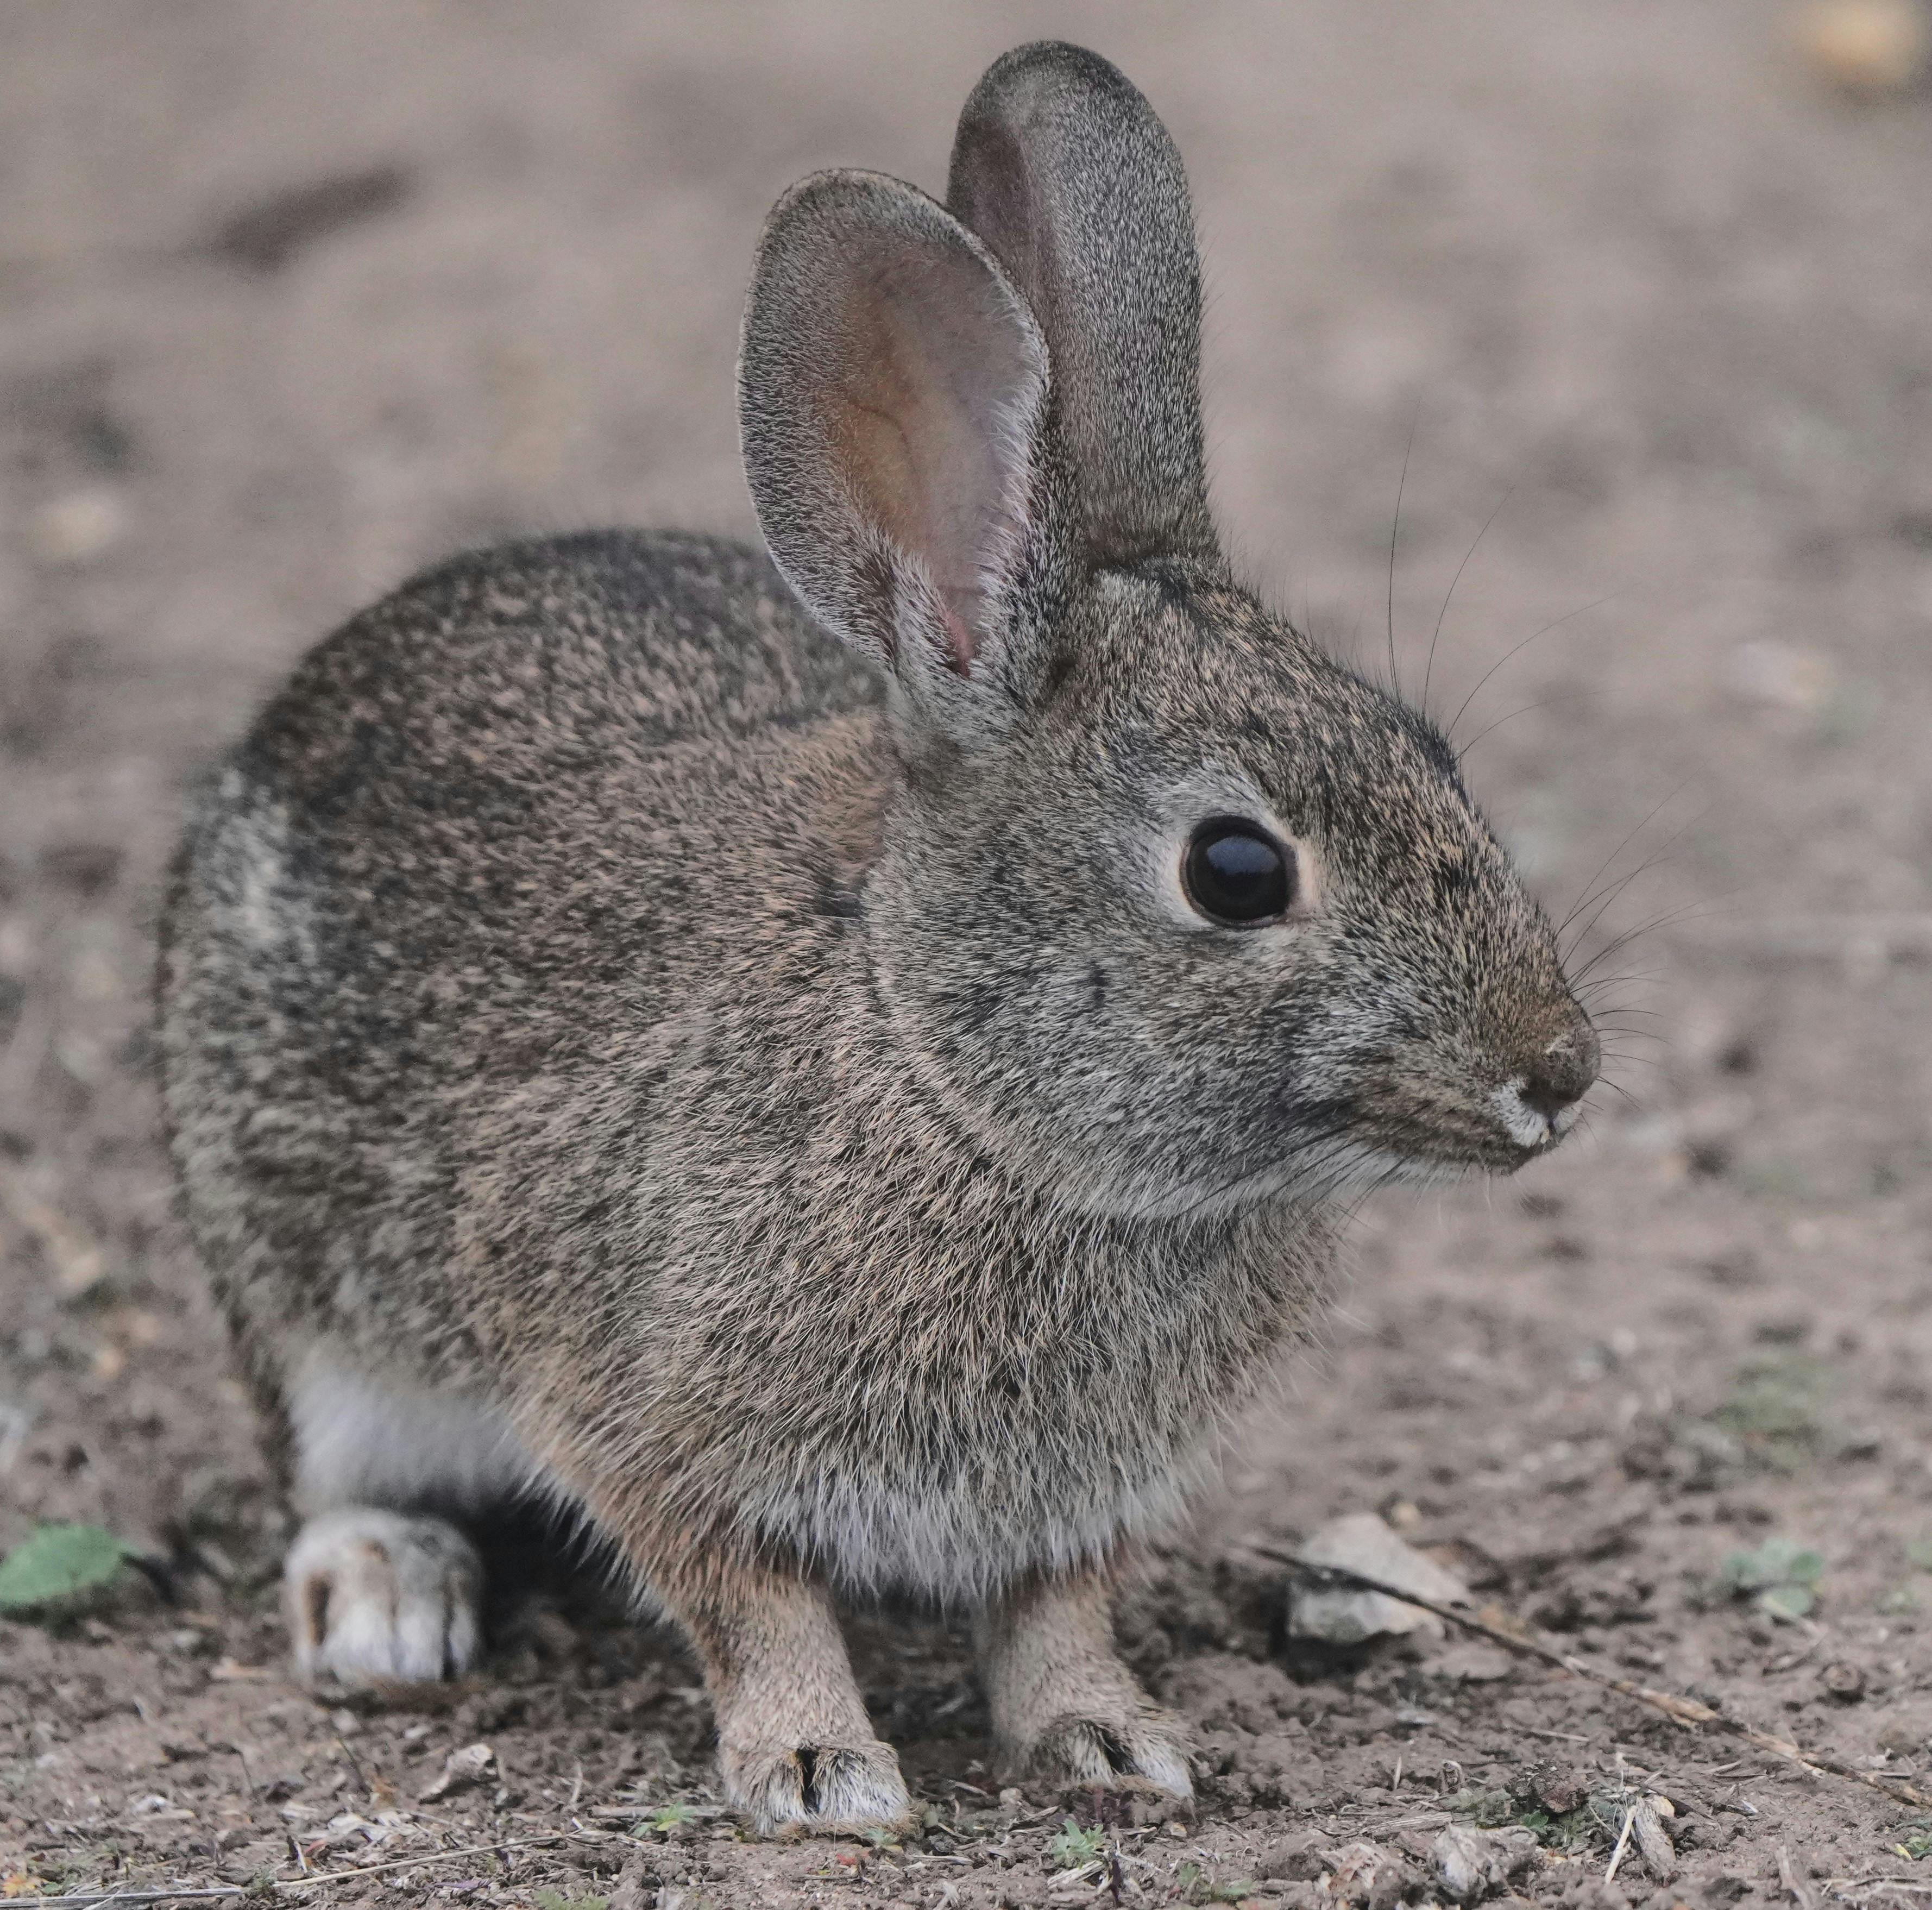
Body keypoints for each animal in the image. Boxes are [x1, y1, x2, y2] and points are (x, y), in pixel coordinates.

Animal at [156, 40, 1598, 1835]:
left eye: (1435, 753)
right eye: (1236, 870)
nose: (1561, 1072)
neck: (949, 1073)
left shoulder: (1072, 1501)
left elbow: (1054, 1613)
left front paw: (1109, 1736)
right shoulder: (644, 1408)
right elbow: (748, 1598)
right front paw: (815, 1767)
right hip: (293, 1279)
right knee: (327, 1463)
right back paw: (389, 1602)